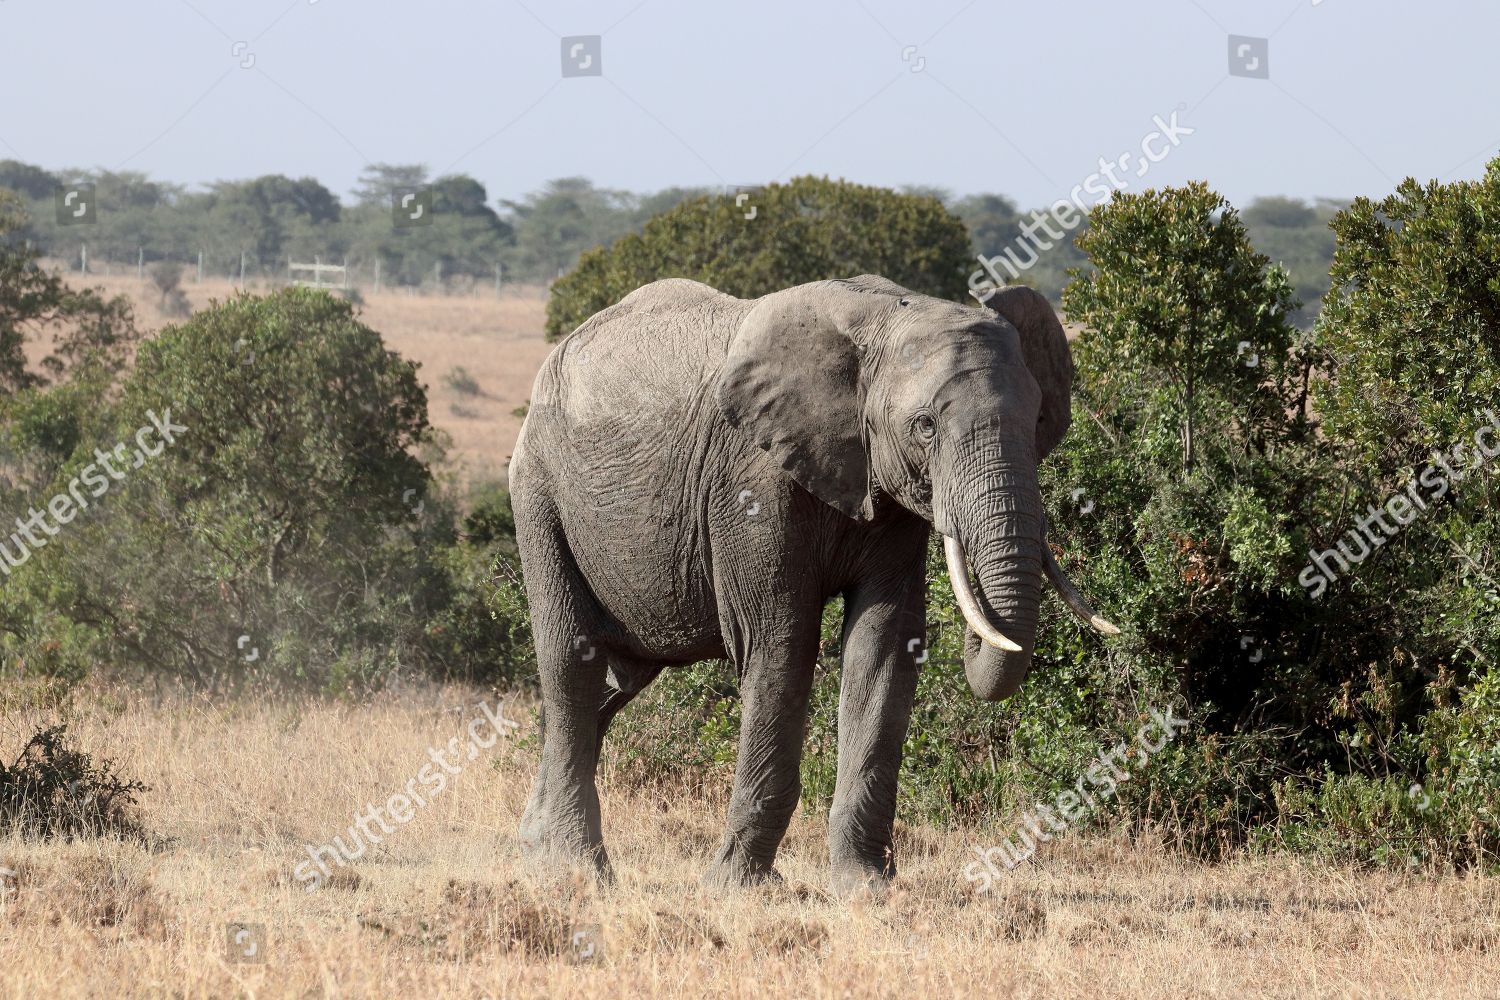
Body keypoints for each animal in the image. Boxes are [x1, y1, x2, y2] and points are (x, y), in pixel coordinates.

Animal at [509, 274, 1116, 897]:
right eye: (924, 426)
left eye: (1039, 420)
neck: (884, 320)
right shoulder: (750, 483)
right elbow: (781, 644)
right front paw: (738, 888)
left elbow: (883, 646)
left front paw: (865, 888)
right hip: (538, 492)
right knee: (573, 663)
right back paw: (579, 871)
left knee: (616, 680)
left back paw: (536, 853)